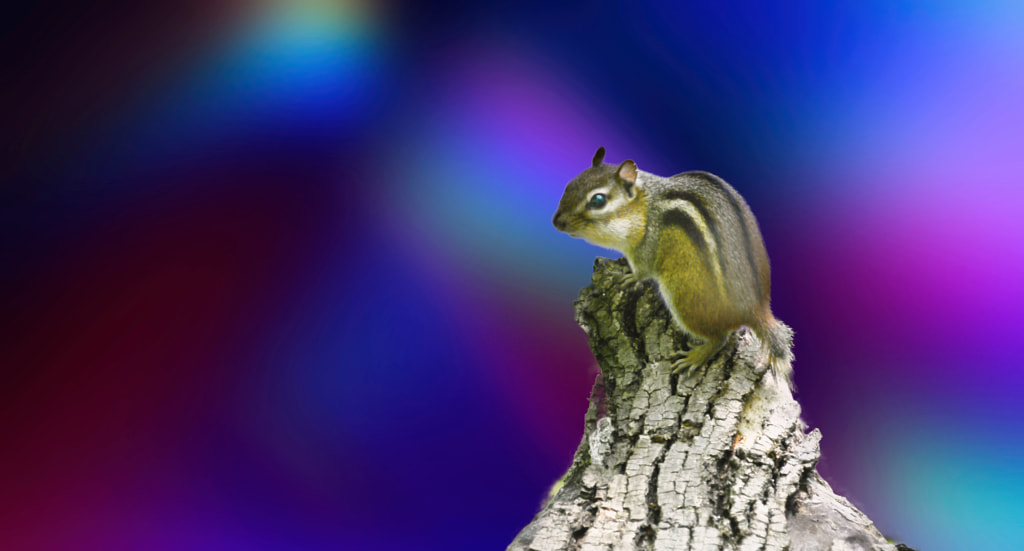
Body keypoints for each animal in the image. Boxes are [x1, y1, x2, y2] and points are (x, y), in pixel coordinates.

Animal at [553, 146, 794, 384]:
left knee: (720, 338)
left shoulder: (648, 243)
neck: (644, 206)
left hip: (685, 299)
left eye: (598, 200)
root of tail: (756, 310)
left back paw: (696, 357)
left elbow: (643, 269)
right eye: (569, 186)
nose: (557, 222)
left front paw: (629, 277)